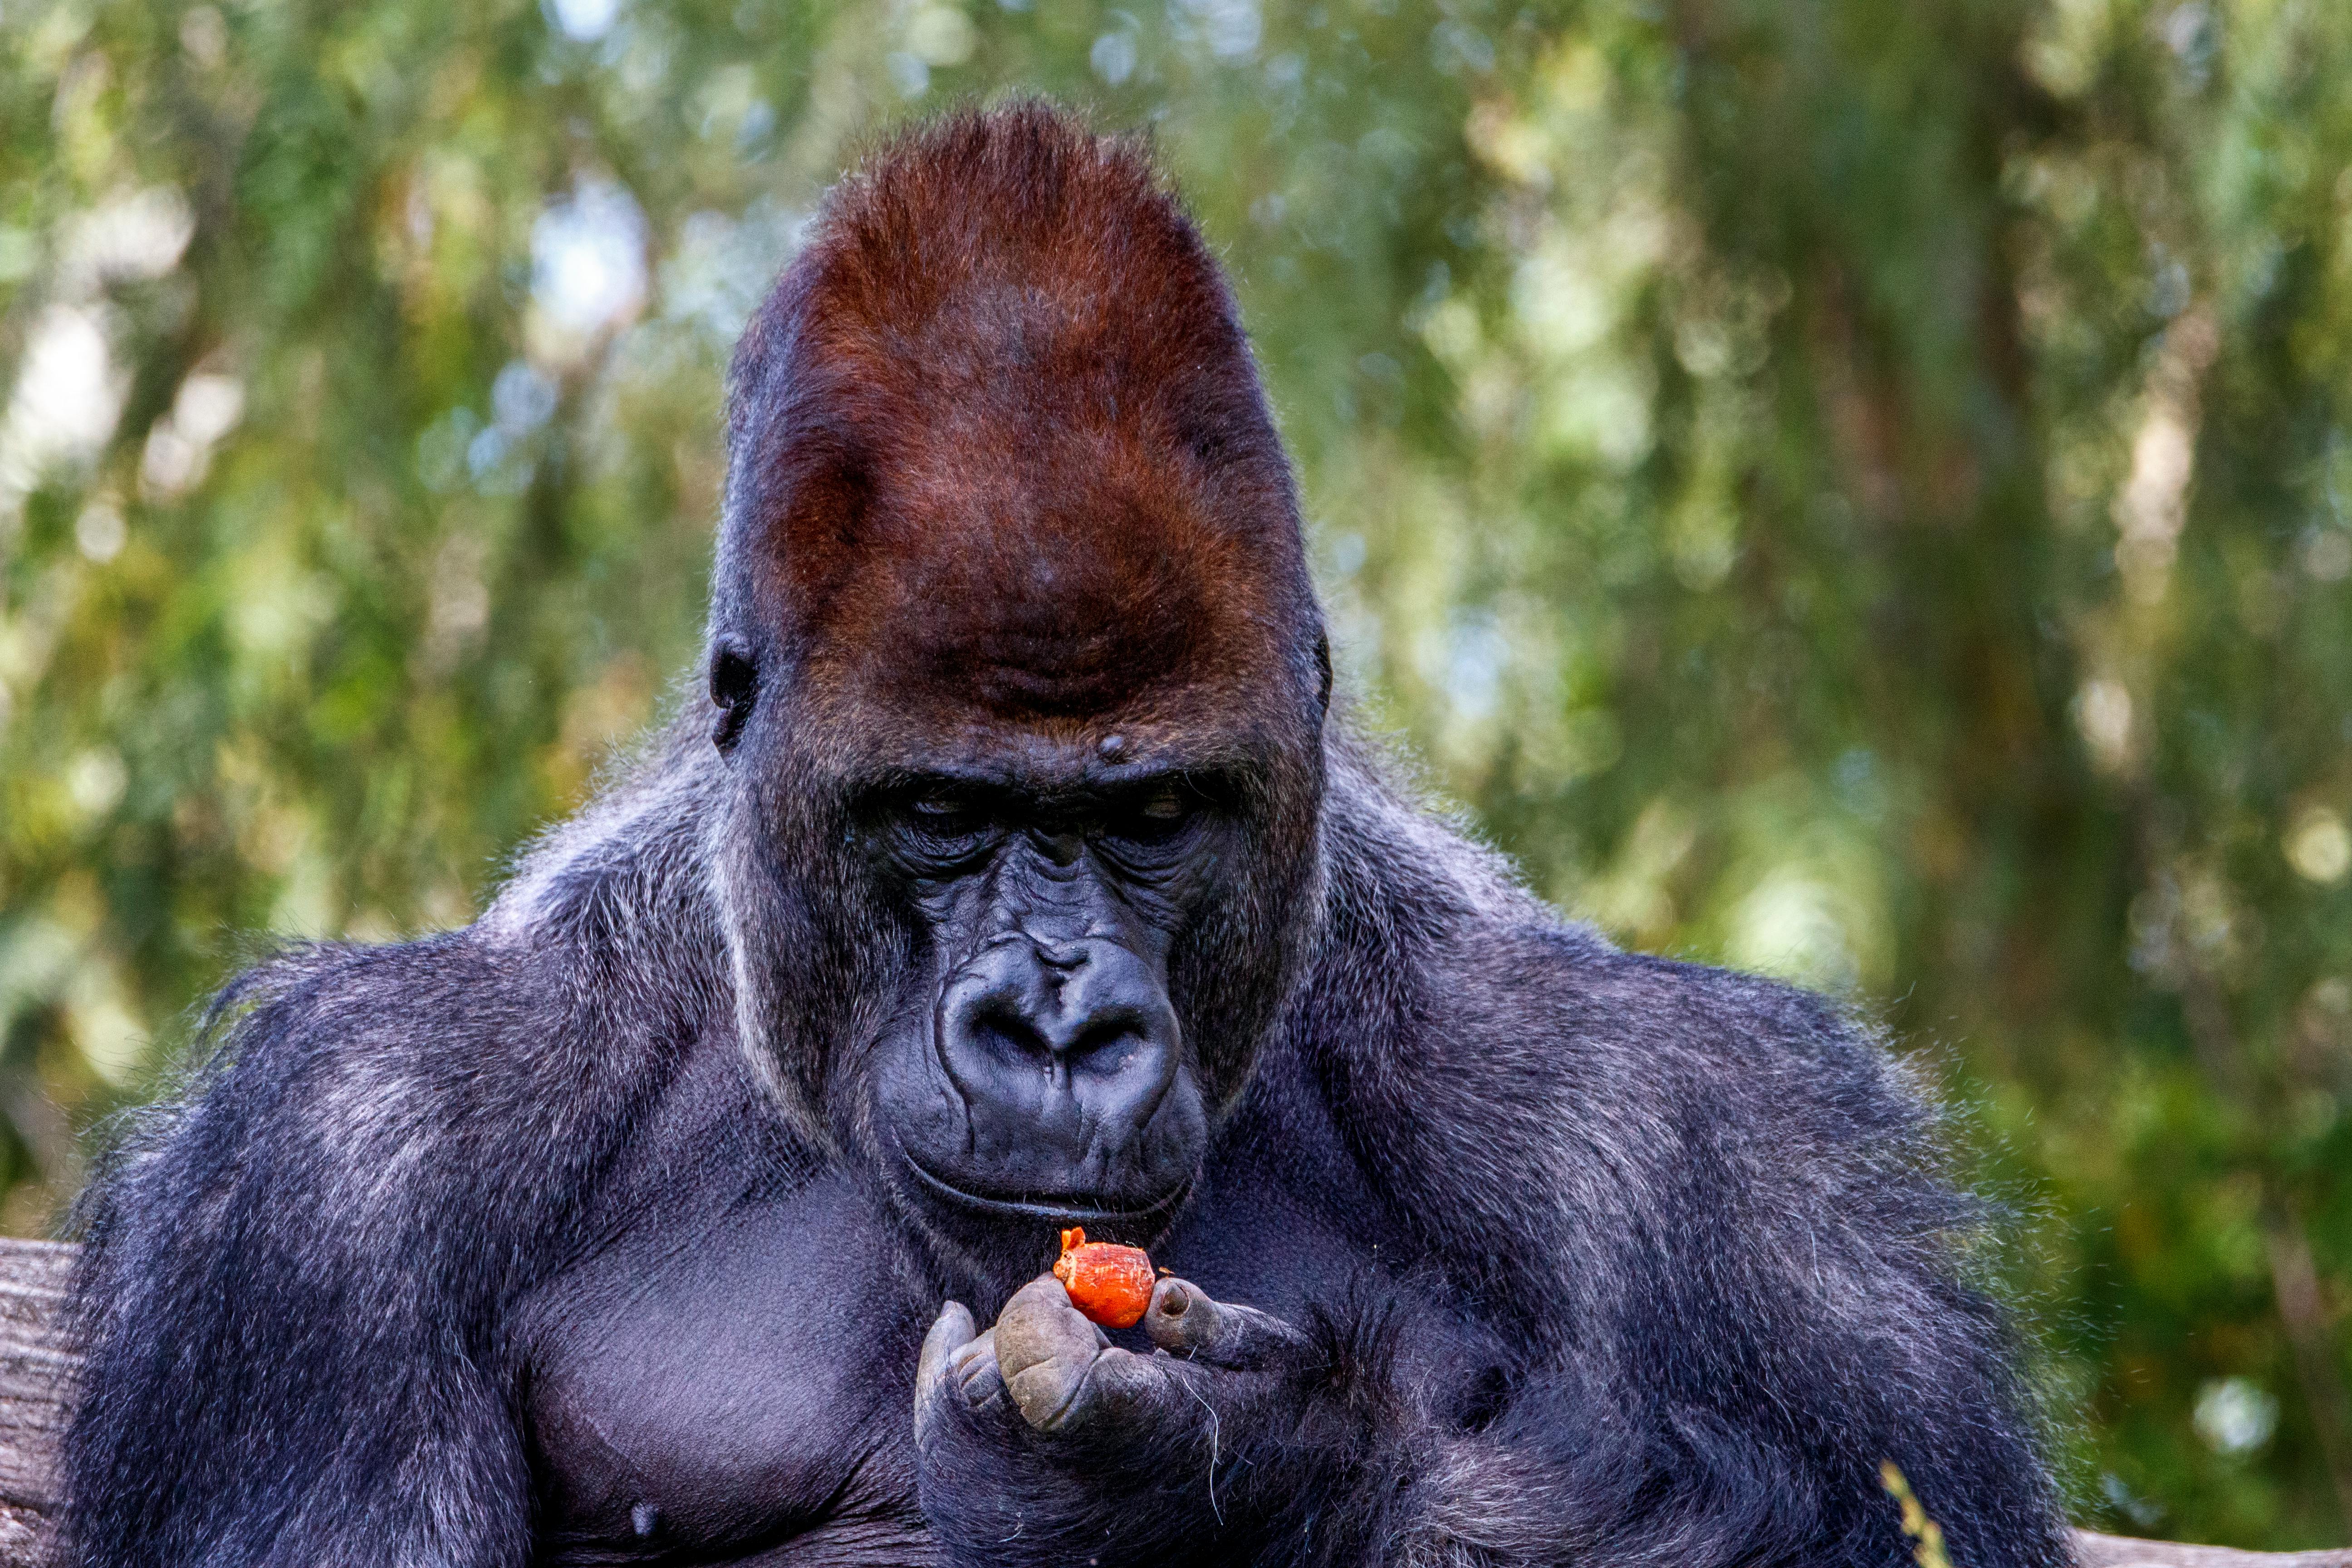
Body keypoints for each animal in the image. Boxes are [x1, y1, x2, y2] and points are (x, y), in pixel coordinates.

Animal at [60, 104, 2070, 1568]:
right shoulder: (333, 1168)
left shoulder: (1708, 1140)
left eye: (1153, 812)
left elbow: (1869, 1517)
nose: (1058, 1023)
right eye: (944, 813)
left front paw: (1224, 1467)